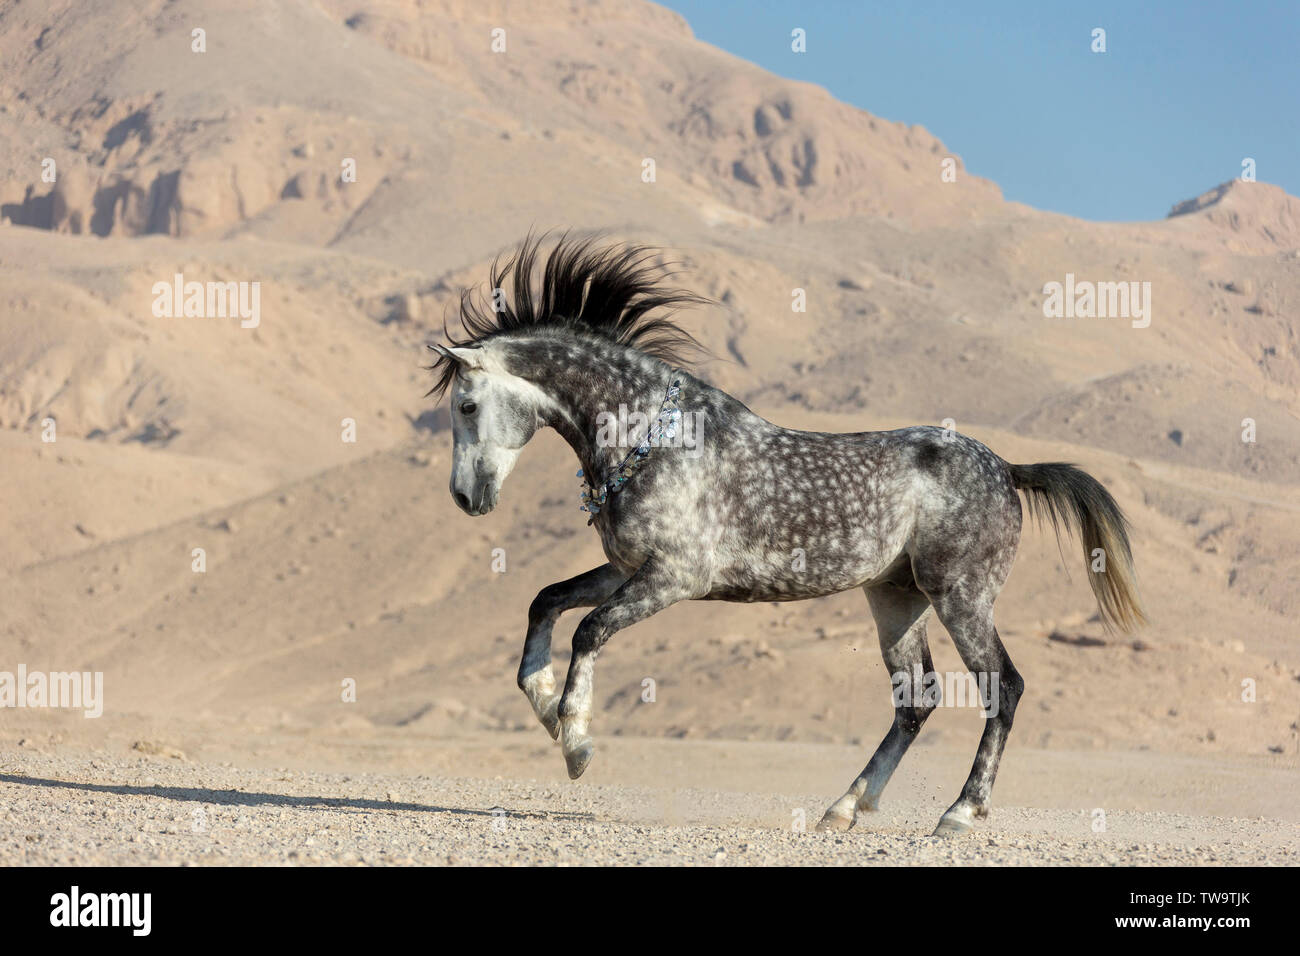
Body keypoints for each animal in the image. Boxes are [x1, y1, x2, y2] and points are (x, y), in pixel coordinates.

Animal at [427, 235, 1146, 836]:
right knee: (916, 701)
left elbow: (588, 629)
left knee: (1004, 688)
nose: (466, 498)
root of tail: (1007, 469)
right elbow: (545, 602)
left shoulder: (673, 577)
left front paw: (574, 739)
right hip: (897, 599)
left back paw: (960, 813)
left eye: (466, 404)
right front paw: (543, 703)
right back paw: (845, 808)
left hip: (961, 597)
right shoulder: (628, 568)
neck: (653, 438)